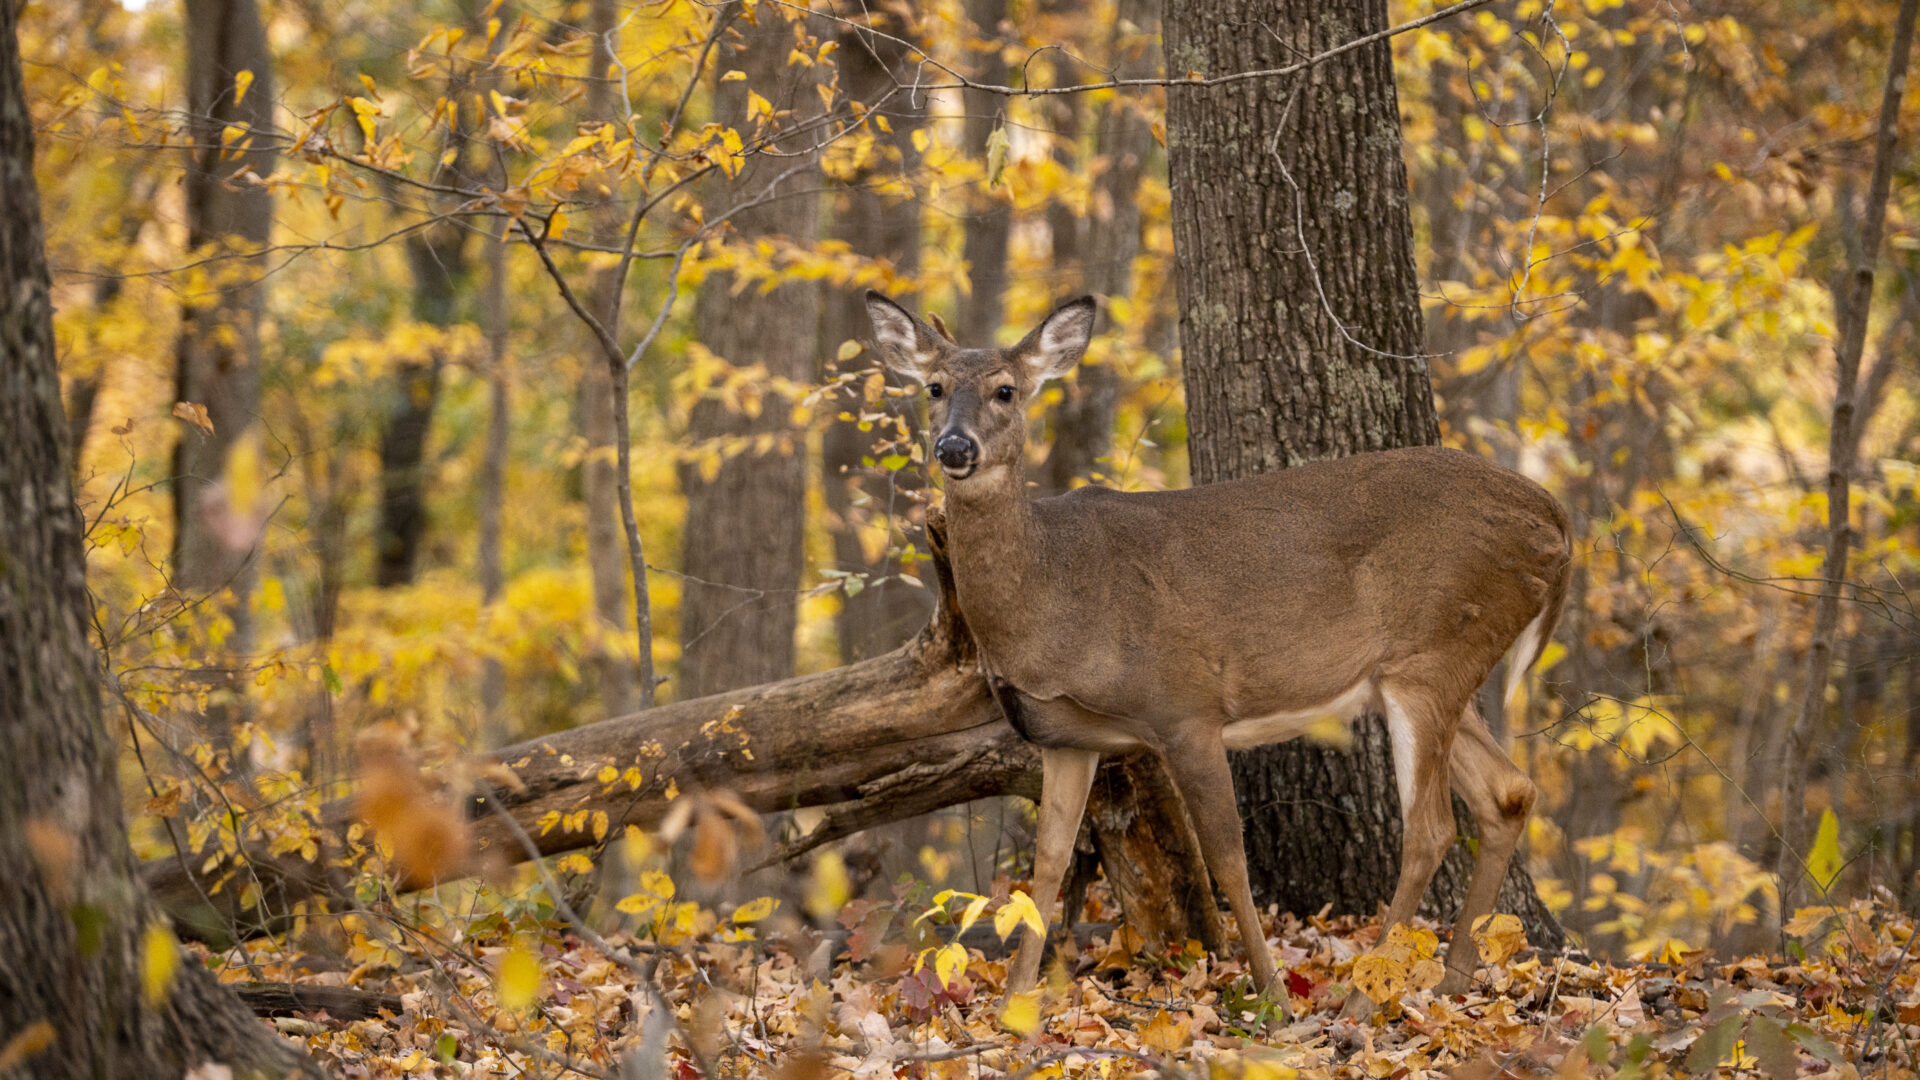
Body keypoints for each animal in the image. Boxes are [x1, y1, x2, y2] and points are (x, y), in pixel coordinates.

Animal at [864, 290, 1572, 1018]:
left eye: (1006, 389)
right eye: (933, 387)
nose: (955, 447)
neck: (1056, 596)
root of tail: (1553, 513)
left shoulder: (1186, 708)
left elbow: (1226, 858)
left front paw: (1272, 998)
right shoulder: (1067, 738)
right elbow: (1048, 863)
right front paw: (1015, 1003)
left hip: (1431, 654)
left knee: (1430, 828)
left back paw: (1361, 997)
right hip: (1430, 669)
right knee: (1508, 792)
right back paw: (1453, 980)